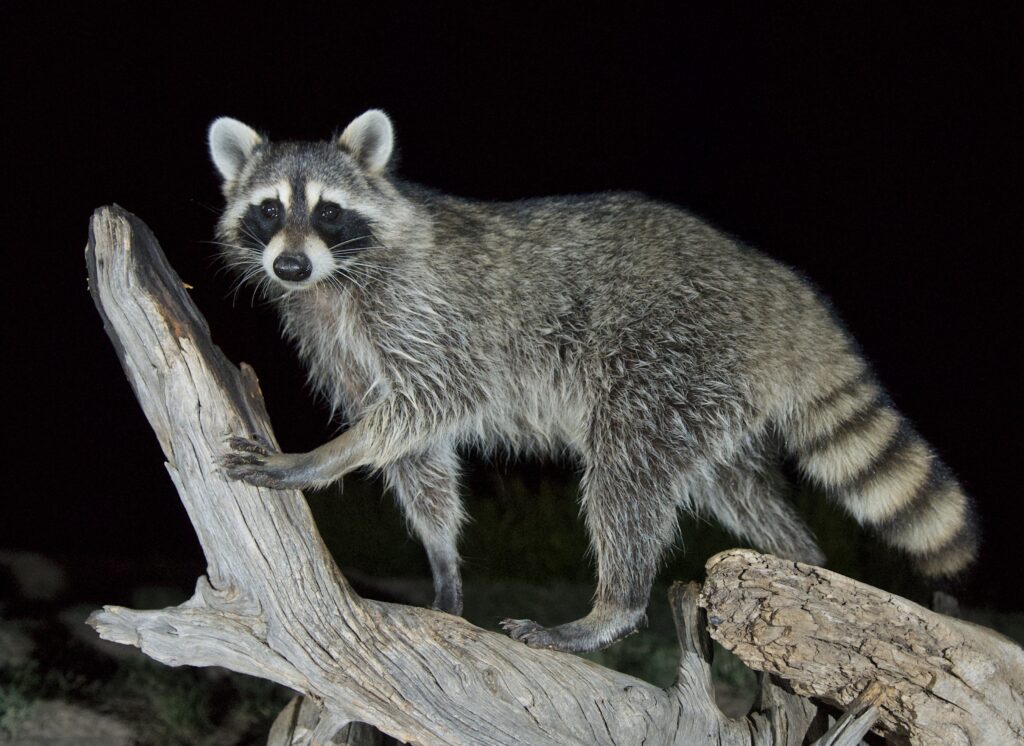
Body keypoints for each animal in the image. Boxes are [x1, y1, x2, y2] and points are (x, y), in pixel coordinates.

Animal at [211, 110, 979, 653]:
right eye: (270, 209)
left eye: (328, 210)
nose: (288, 266)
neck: (334, 282)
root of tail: (782, 294)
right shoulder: (335, 341)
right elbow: (416, 455)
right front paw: (443, 561)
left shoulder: (429, 316)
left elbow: (430, 402)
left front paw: (316, 458)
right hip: (713, 395)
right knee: (737, 489)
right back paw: (800, 564)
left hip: (670, 357)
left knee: (626, 476)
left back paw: (613, 606)